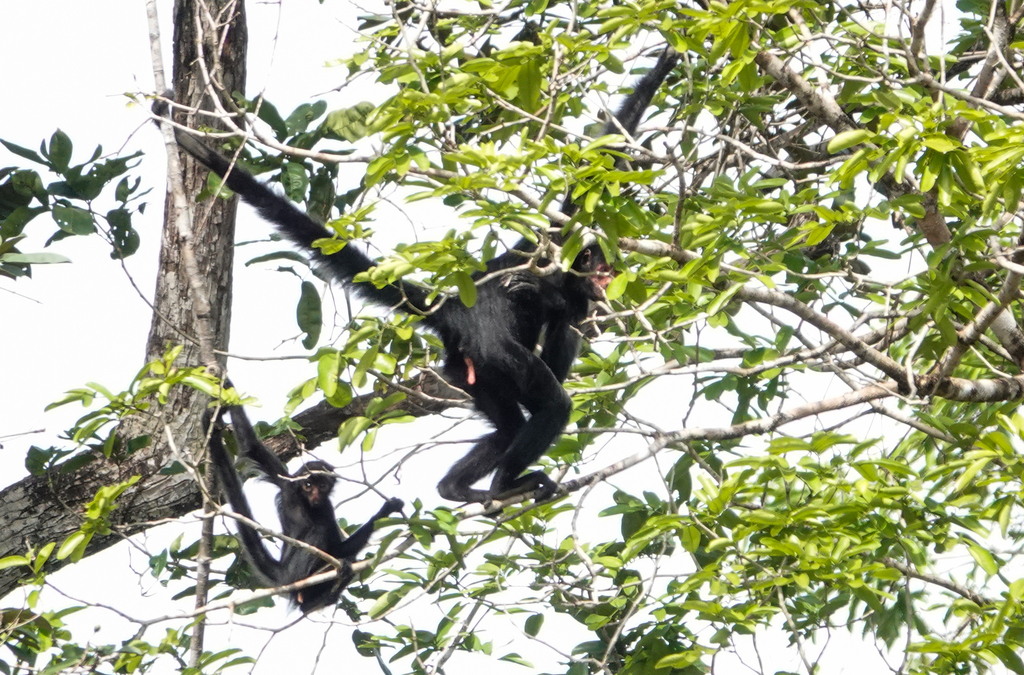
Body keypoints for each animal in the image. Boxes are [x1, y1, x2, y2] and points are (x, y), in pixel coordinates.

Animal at [160, 50, 677, 504]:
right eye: (602, 271)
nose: (605, 284)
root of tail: (451, 309)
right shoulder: (552, 248)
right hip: (492, 352)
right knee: (550, 404)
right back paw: (502, 485)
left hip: (468, 369)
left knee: (510, 423)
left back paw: (456, 488)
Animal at [205, 405, 403, 612]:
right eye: (308, 485)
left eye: (322, 486)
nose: (315, 495)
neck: (303, 501)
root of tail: (283, 573)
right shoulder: (289, 485)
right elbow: (253, 447)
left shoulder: (323, 504)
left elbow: (338, 548)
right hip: (295, 571)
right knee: (318, 531)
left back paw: (319, 598)